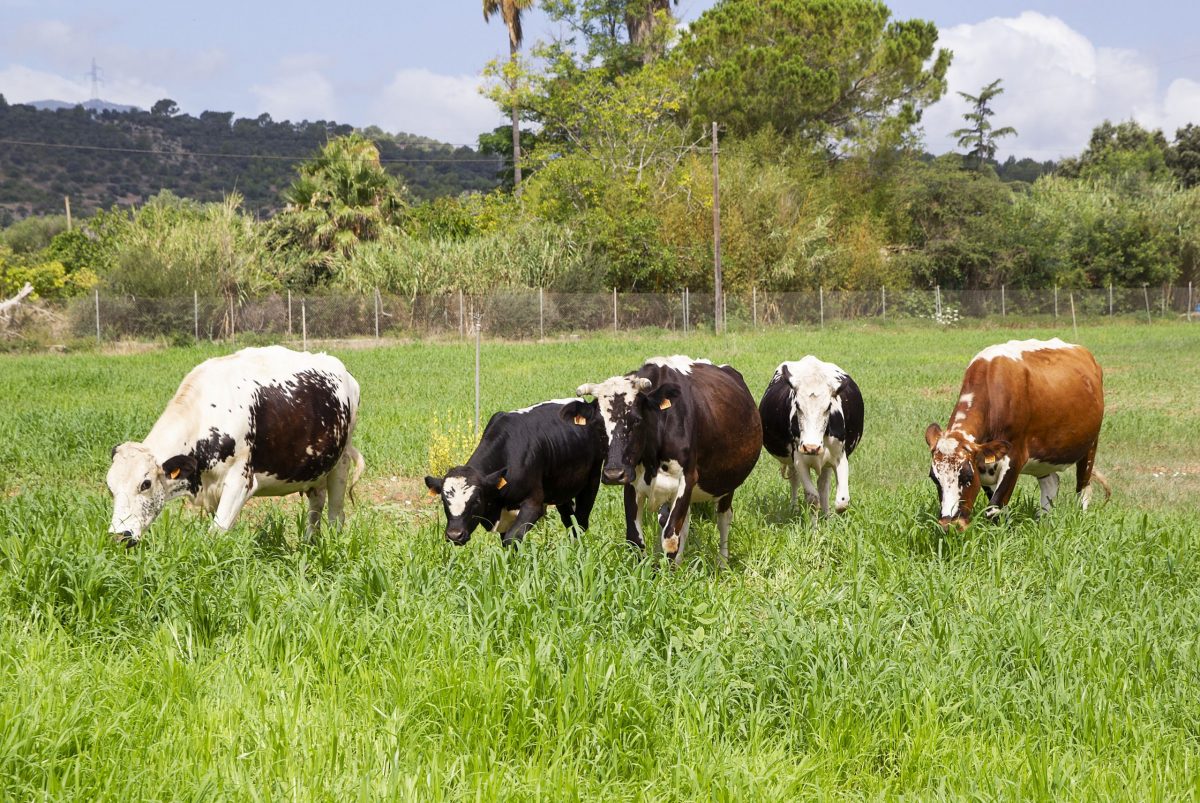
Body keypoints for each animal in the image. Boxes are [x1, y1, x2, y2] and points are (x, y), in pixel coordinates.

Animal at [107, 345, 362, 545]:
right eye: (110, 488)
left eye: (145, 484)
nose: (119, 535)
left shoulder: (240, 481)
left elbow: (215, 534)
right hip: (315, 467)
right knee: (316, 504)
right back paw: (310, 543)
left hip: (340, 462)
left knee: (336, 514)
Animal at [423, 398, 605, 546]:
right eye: (444, 500)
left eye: (476, 500)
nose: (455, 535)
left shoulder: (534, 504)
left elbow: (512, 538)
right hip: (562, 490)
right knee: (570, 521)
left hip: (592, 480)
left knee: (580, 523)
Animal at [565, 355, 762, 565]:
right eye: (597, 424)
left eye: (636, 420)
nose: (613, 474)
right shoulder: (632, 483)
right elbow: (635, 538)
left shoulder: (686, 480)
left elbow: (670, 537)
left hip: (727, 482)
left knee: (723, 518)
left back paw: (722, 563)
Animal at [759, 356, 864, 514]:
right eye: (797, 405)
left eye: (828, 406)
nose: (811, 447)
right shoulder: (799, 460)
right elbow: (813, 499)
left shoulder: (840, 457)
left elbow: (842, 502)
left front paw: (830, 518)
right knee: (795, 480)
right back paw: (794, 508)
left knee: (823, 485)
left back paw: (826, 515)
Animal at [924, 337, 1107, 530]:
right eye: (935, 479)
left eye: (967, 476)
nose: (948, 524)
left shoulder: (1014, 458)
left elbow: (994, 509)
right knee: (1050, 484)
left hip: (1090, 446)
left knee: (1083, 489)